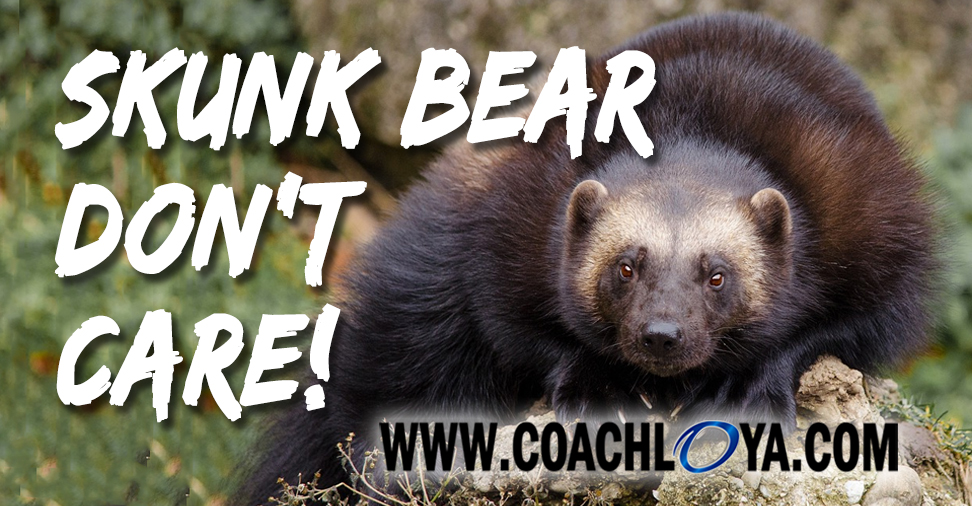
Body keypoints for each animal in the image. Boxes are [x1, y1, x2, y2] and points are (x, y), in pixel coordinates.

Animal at [238, 11, 939, 503]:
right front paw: (598, 388)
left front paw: (750, 386)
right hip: (416, 302)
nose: (662, 333)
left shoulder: (878, 224)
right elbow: (527, 328)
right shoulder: (512, 227)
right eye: (625, 267)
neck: (696, 117)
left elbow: (842, 327)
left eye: (718, 275)